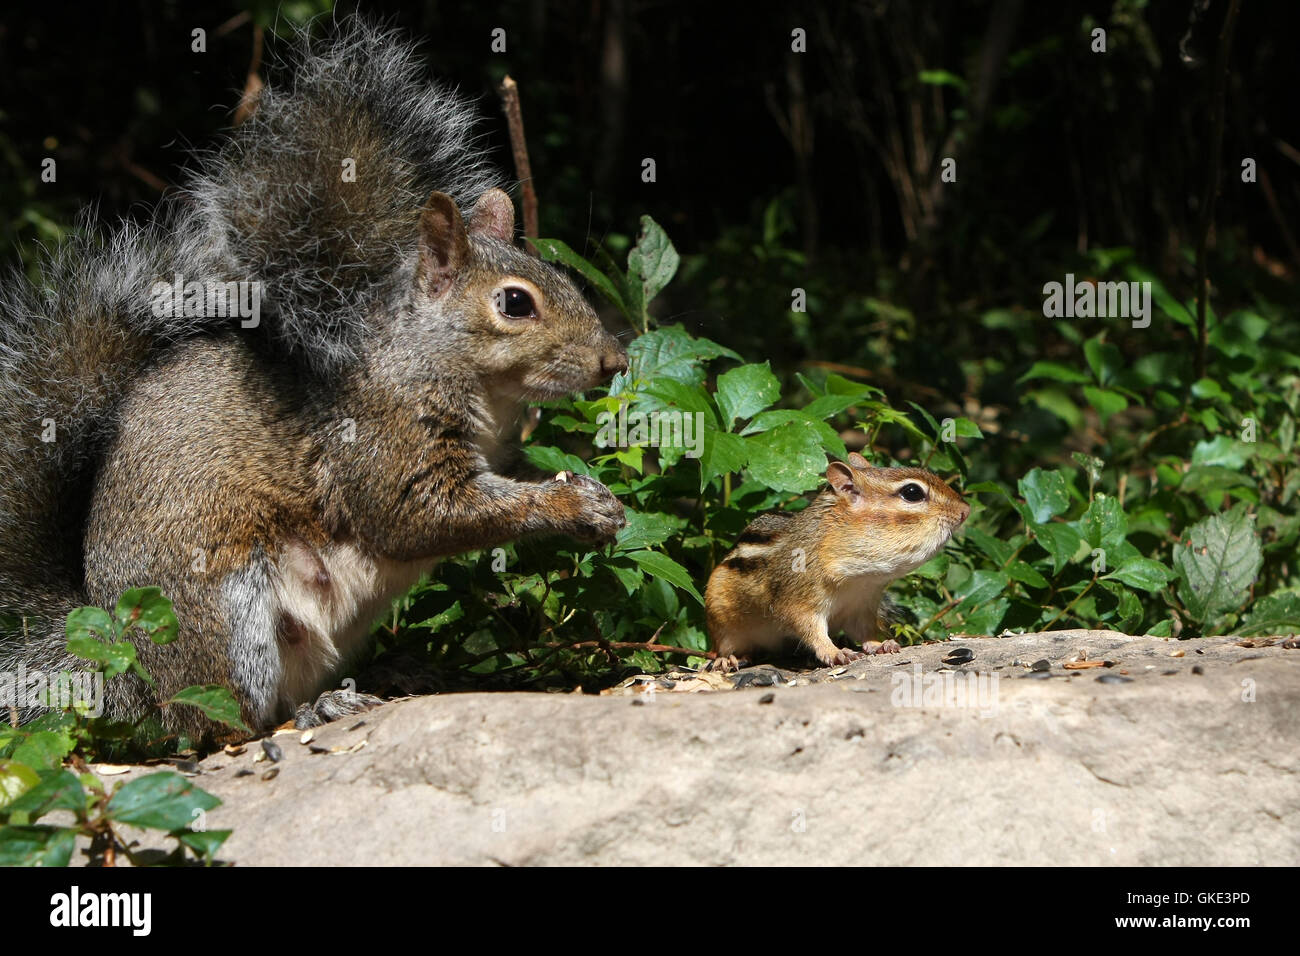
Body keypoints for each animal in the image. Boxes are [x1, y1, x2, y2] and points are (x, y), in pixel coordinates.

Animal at [0, 20, 627, 741]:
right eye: (516, 302)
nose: (614, 361)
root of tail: (123, 668)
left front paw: (593, 494)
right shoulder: (381, 438)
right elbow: (416, 517)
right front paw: (570, 507)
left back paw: (373, 683)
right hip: (223, 616)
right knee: (222, 723)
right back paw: (302, 716)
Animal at [704, 453, 969, 672]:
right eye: (912, 492)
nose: (966, 510)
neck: (859, 578)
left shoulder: (861, 606)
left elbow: (864, 631)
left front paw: (880, 644)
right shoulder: (798, 598)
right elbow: (809, 628)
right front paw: (834, 652)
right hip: (722, 619)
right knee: (724, 646)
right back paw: (728, 659)